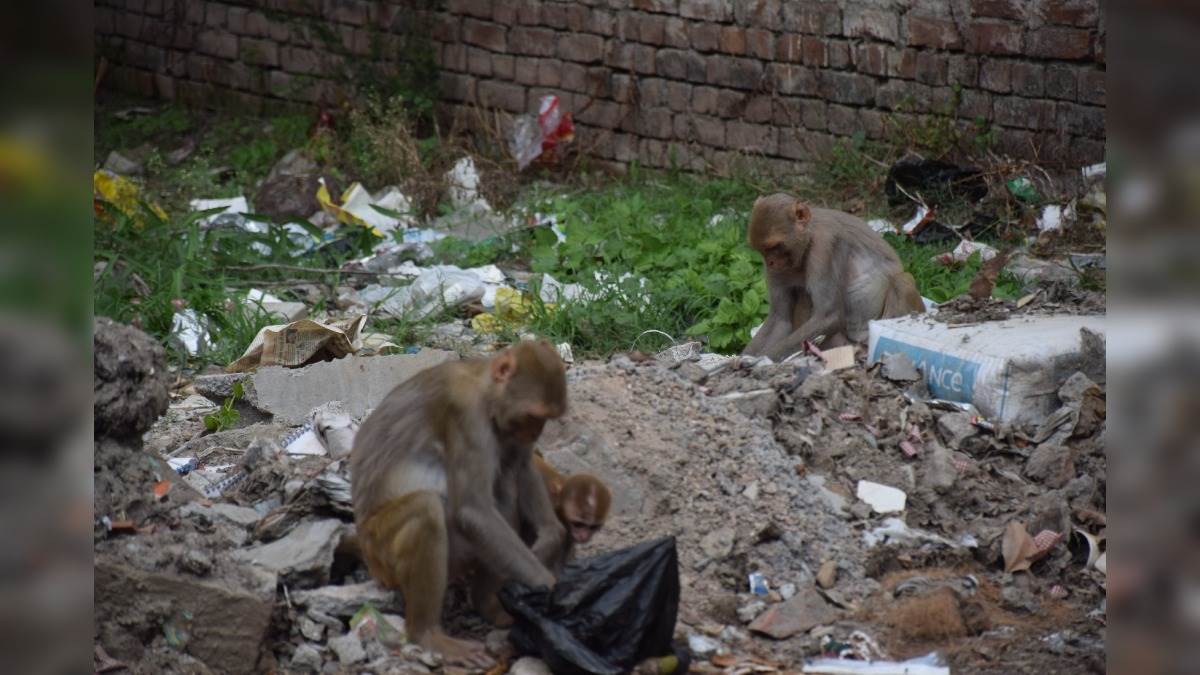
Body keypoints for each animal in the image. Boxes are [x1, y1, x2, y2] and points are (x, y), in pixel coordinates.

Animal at [350, 340, 568, 668]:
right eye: (533, 416)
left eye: (545, 420)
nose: (535, 433)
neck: (484, 387)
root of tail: (367, 556)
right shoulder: (467, 415)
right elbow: (472, 510)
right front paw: (550, 587)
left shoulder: (502, 426)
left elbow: (521, 466)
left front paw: (551, 537)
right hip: (381, 550)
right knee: (428, 510)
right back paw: (427, 633)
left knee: (505, 483)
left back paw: (484, 602)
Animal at [742, 193, 924, 361]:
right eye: (762, 250)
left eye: (775, 246)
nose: (770, 262)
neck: (809, 236)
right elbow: (780, 319)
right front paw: (744, 358)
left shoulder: (825, 244)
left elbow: (828, 316)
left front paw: (760, 359)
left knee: (902, 281)